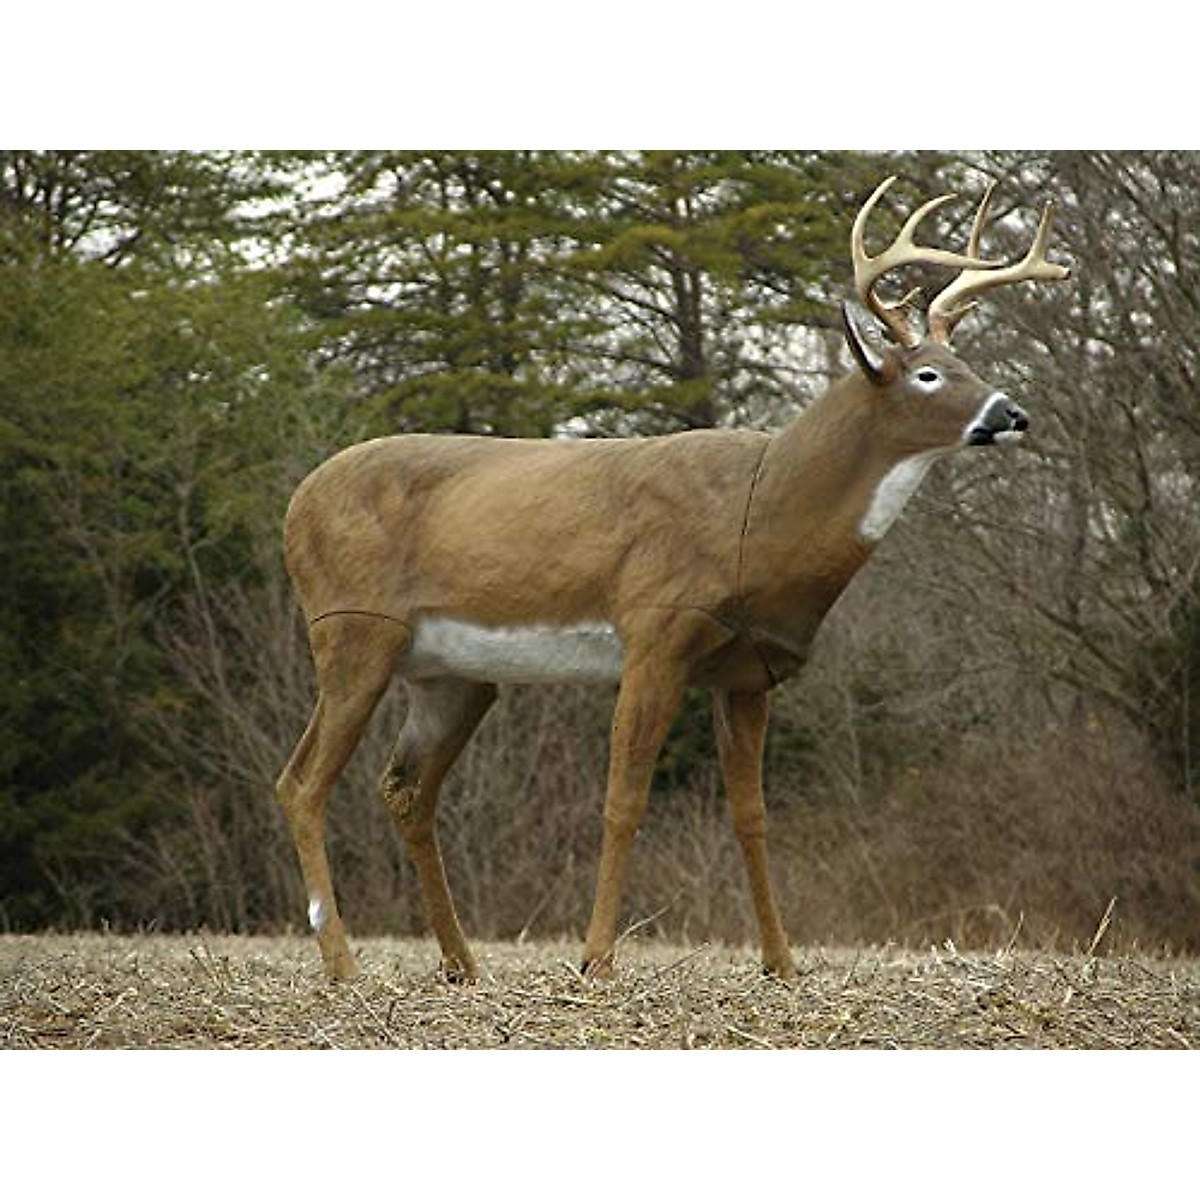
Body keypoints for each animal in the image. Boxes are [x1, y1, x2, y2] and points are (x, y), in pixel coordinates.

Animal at [276, 174, 1070, 984]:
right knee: (301, 783)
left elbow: (751, 813)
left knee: (405, 789)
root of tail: (297, 502)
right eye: (928, 373)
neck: (761, 512)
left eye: (967, 360)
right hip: (353, 629)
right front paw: (597, 960)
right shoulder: (656, 630)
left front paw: (781, 963)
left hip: (452, 674)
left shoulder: (748, 671)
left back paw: (462, 965)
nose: (1013, 412)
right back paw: (342, 964)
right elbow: (624, 800)